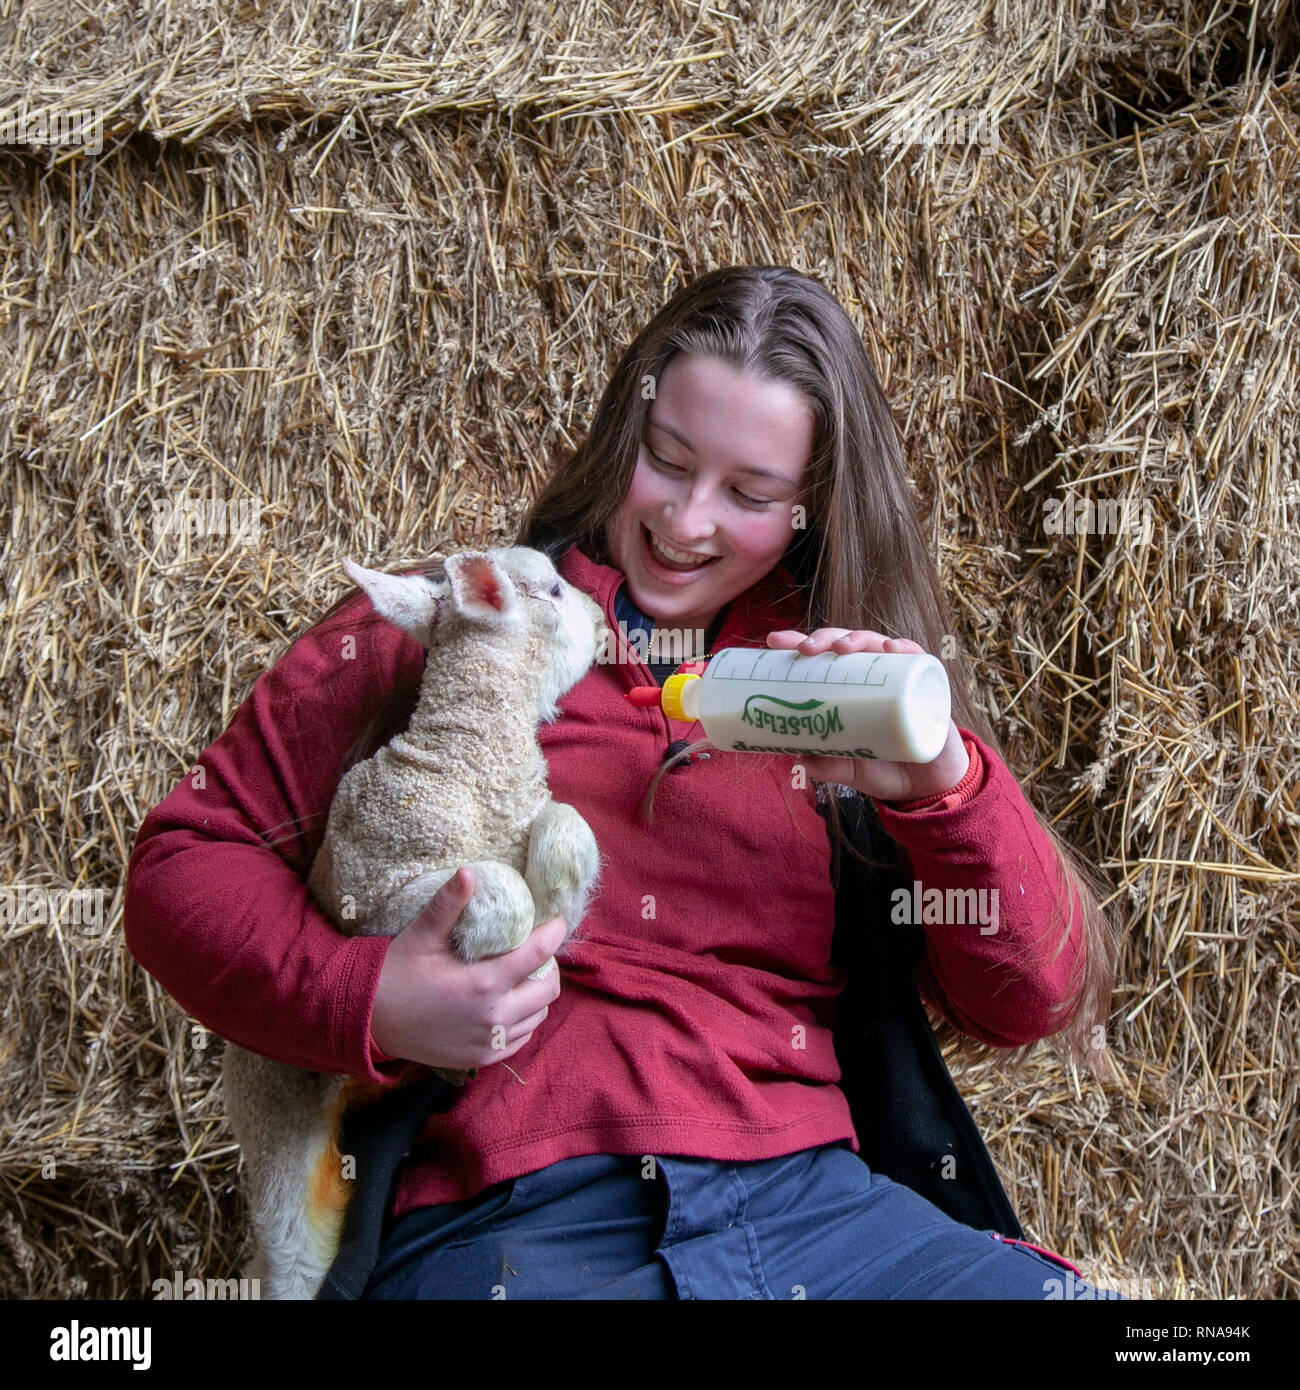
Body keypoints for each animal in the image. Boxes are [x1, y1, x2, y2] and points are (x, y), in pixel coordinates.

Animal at [220, 546, 608, 1300]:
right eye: (552, 589)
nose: (605, 618)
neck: (469, 768)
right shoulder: (373, 896)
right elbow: (498, 890)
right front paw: (496, 946)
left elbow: (568, 832)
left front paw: (556, 910)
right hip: (276, 1122)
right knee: (286, 1261)